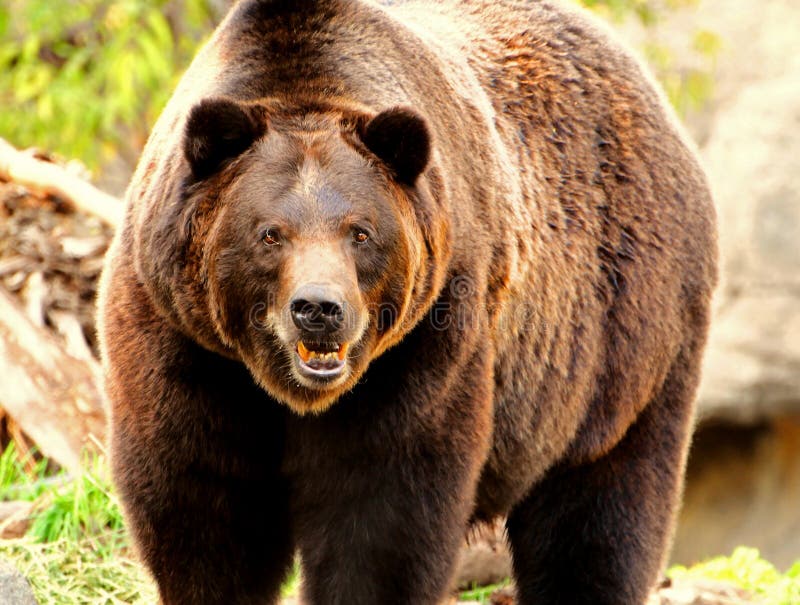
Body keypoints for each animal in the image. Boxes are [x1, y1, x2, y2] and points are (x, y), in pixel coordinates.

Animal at [97, 0, 718, 604]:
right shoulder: (183, 338)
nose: (318, 309)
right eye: (270, 233)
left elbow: (383, 512)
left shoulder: (424, 340)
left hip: (624, 339)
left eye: (360, 232)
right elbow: (202, 504)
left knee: (603, 508)